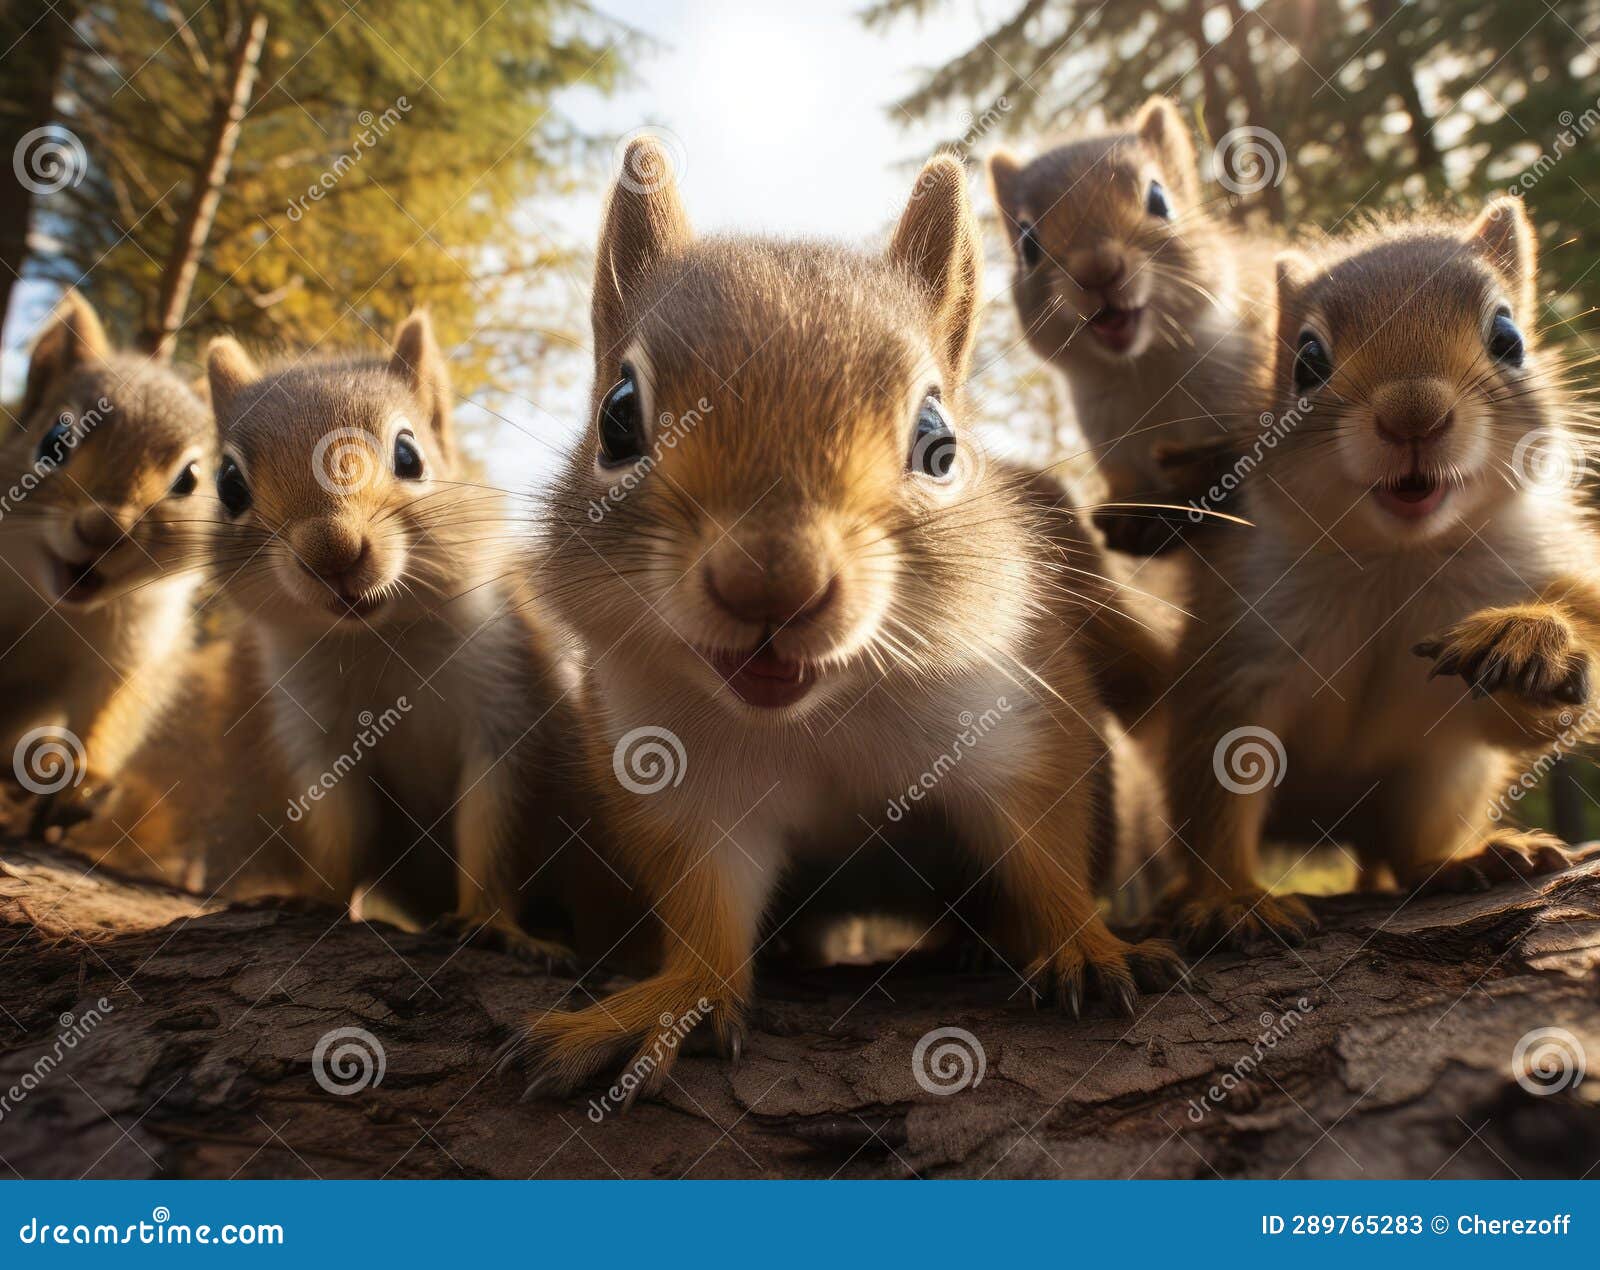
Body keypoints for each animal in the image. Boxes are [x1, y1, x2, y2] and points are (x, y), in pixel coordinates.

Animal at [0, 291, 214, 835]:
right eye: (54, 440)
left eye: (191, 479)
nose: (103, 530)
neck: (52, 603)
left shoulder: (134, 650)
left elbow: (109, 713)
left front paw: (81, 782)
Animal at [203, 313, 587, 961]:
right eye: (229, 484)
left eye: (409, 454)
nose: (331, 552)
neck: (378, 641)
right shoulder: (321, 735)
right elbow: (341, 828)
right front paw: (317, 899)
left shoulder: (509, 706)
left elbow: (496, 825)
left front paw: (492, 923)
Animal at [510, 139, 1184, 1102]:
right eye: (616, 420)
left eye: (939, 442)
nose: (770, 583)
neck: (818, 715)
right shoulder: (681, 784)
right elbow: (707, 911)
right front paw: (665, 1001)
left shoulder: (1019, 723)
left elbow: (1044, 850)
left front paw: (1084, 945)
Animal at [988, 96, 1276, 556]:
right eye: (1027, 243)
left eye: (1159, 200)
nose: (1097, 270)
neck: (1143, 366)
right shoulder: (1110, 442)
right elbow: (1127, 489)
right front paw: (1129, 516)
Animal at [1160, 196, 1595, 950]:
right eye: (1306, 360)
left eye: (1508, 334)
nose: (1412, 415)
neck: (1399, 558)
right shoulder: (1237, 644)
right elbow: (1214, 777)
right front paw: (1231, 899)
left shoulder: (1535, 566)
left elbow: (1536, 705)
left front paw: (1529, 641)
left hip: (1439, 772)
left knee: (1404, 849)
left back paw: (1463, 859)